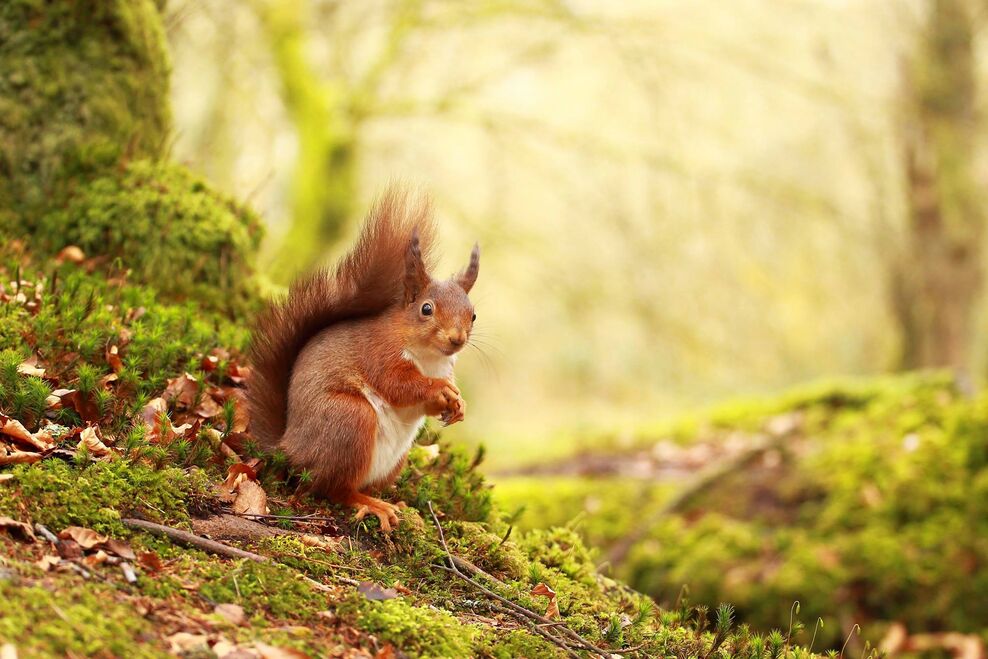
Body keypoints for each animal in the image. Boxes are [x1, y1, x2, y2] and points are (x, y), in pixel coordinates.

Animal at [246, 188, 479, 531]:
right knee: (332, 489)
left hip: (395, 459)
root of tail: (288, 449)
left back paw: (397, 503)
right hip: (350, 420)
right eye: (426, 309)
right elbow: (399, 385)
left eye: (473, 315)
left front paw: (458, 404)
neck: (430, 358)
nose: (457, 339)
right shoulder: (379, 353)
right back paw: (371, 504)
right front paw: (438, 389)